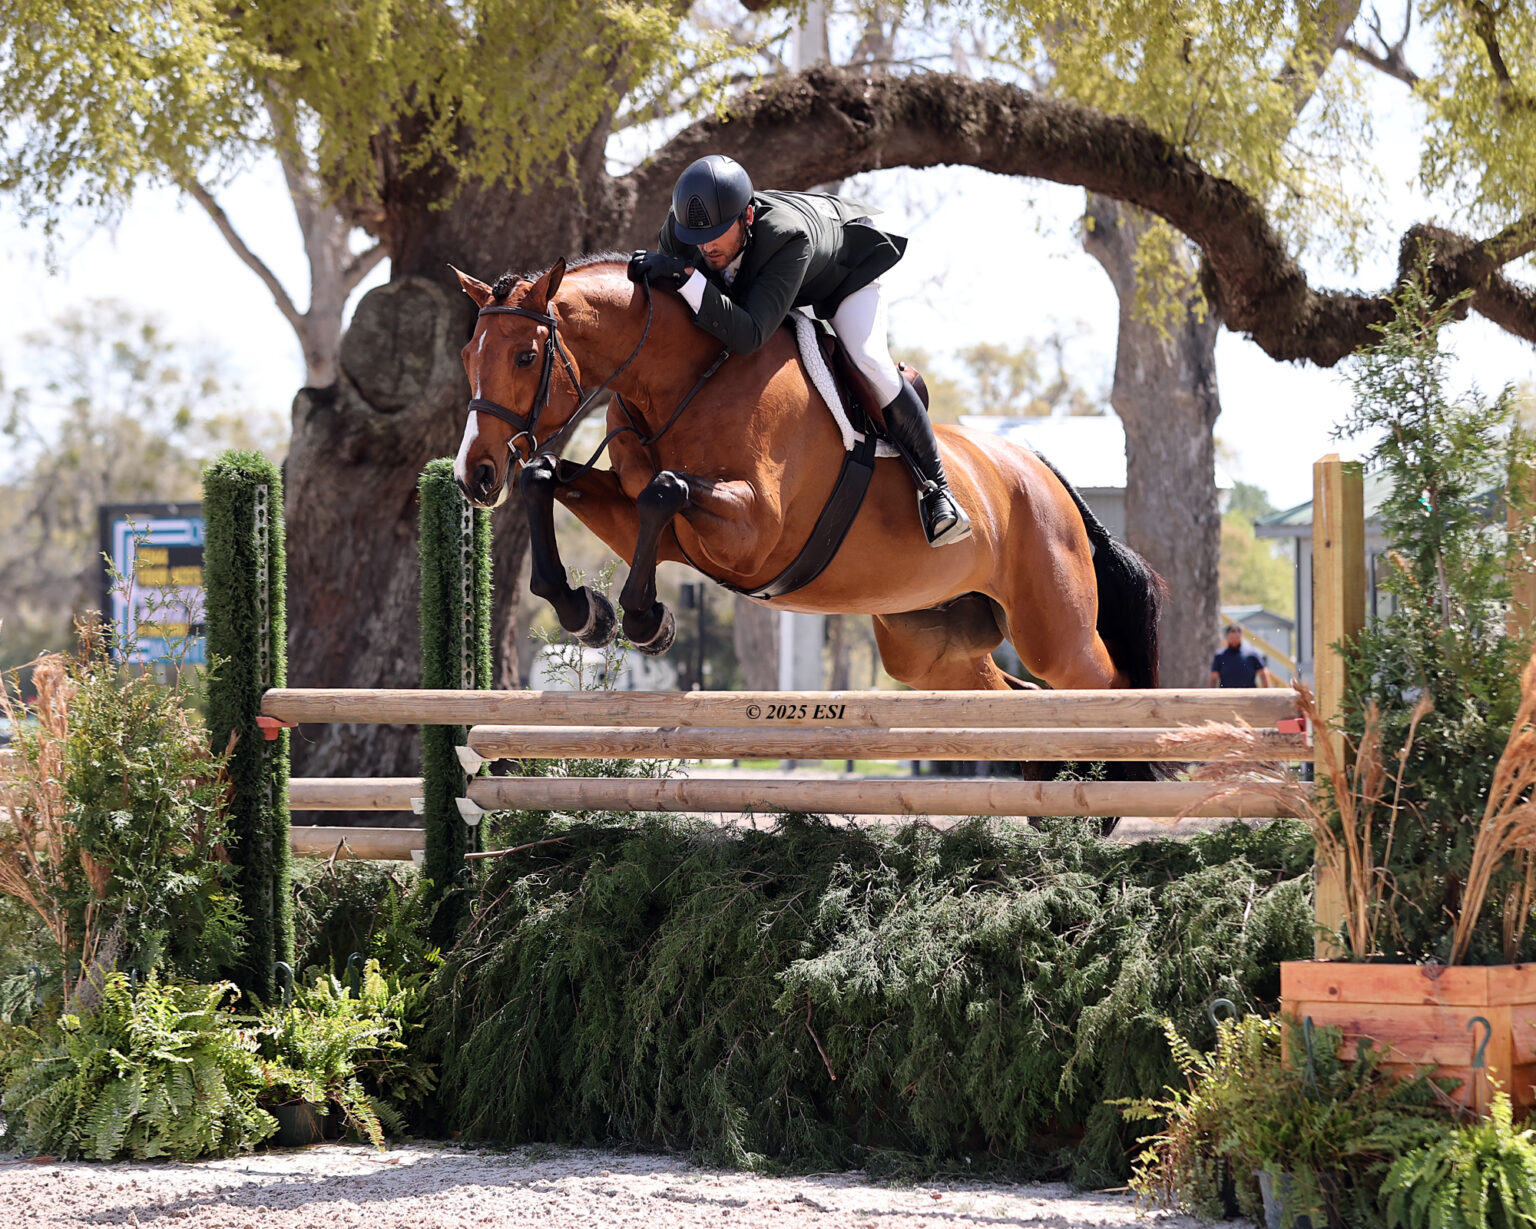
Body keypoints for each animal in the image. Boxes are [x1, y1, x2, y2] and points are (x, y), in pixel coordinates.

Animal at [451, 254, 1163, 698]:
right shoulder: (664, 531)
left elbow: (665, 488)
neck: (687, 379)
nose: (475, 475)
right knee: (1009, 695)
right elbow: (547, 477)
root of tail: (1048, 477)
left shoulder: (753, 530)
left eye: (524, 356)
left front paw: (647, 620)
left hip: (1055, 634)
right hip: (925, 645)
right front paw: (585, 613)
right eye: (466, 357)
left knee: (1106, 688)